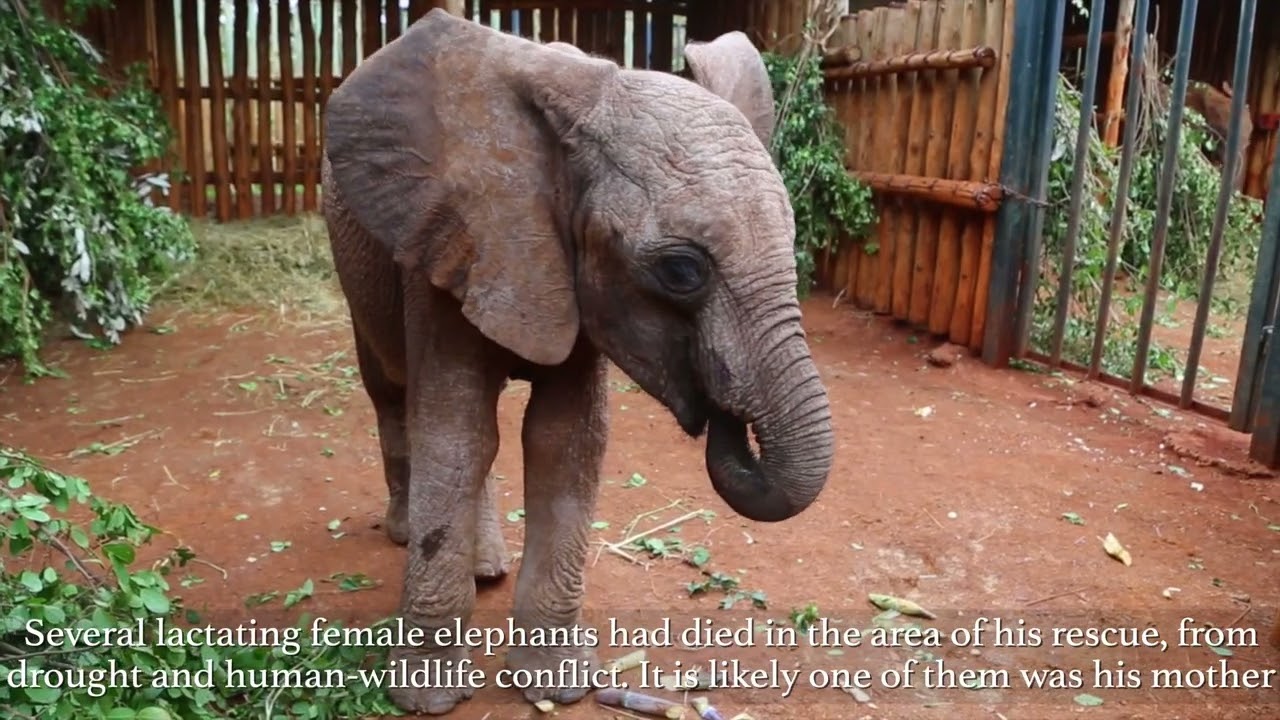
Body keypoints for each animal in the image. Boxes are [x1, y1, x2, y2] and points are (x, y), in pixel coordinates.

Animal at [321, 9, 834, 715]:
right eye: (681, 271)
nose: (725, 415)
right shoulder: (449, 247)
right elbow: (455, 434)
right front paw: (425, 699)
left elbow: (565, 439)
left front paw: (557, 686)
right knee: (390, 389)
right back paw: (406, 532)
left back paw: (486, 567)